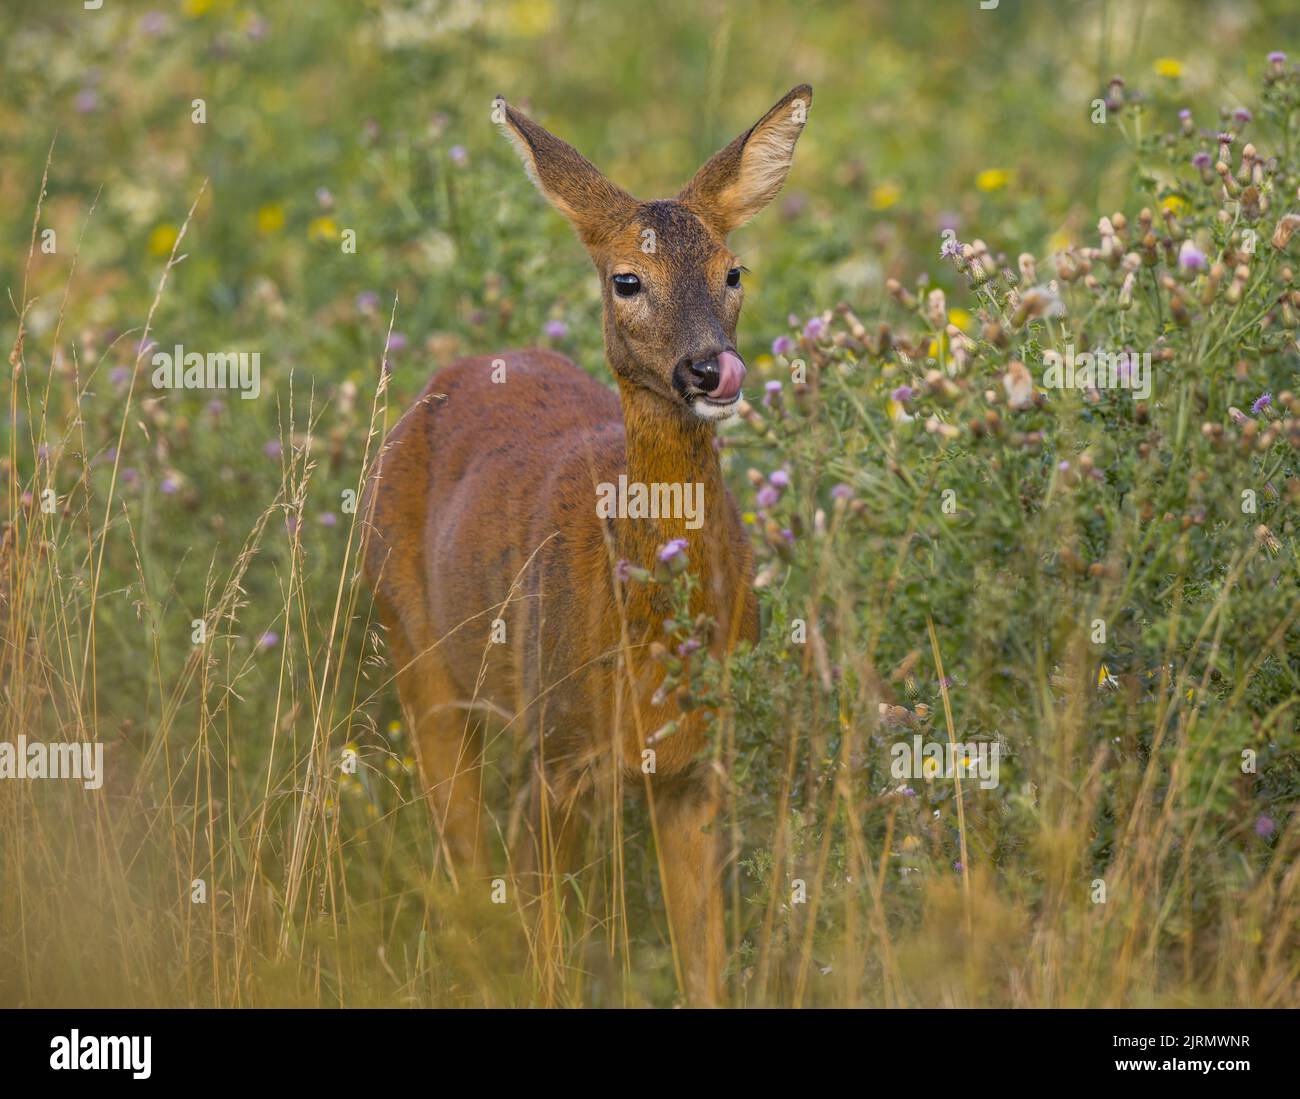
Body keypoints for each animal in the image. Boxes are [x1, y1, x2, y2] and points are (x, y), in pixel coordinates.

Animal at [362, 84, 811, 1005]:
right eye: (626, 279)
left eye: (734, 271)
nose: (711, 368)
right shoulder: (554, 753)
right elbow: (548, 958)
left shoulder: (698, 769)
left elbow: (704, 965)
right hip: (415, 649)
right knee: (465, 868)